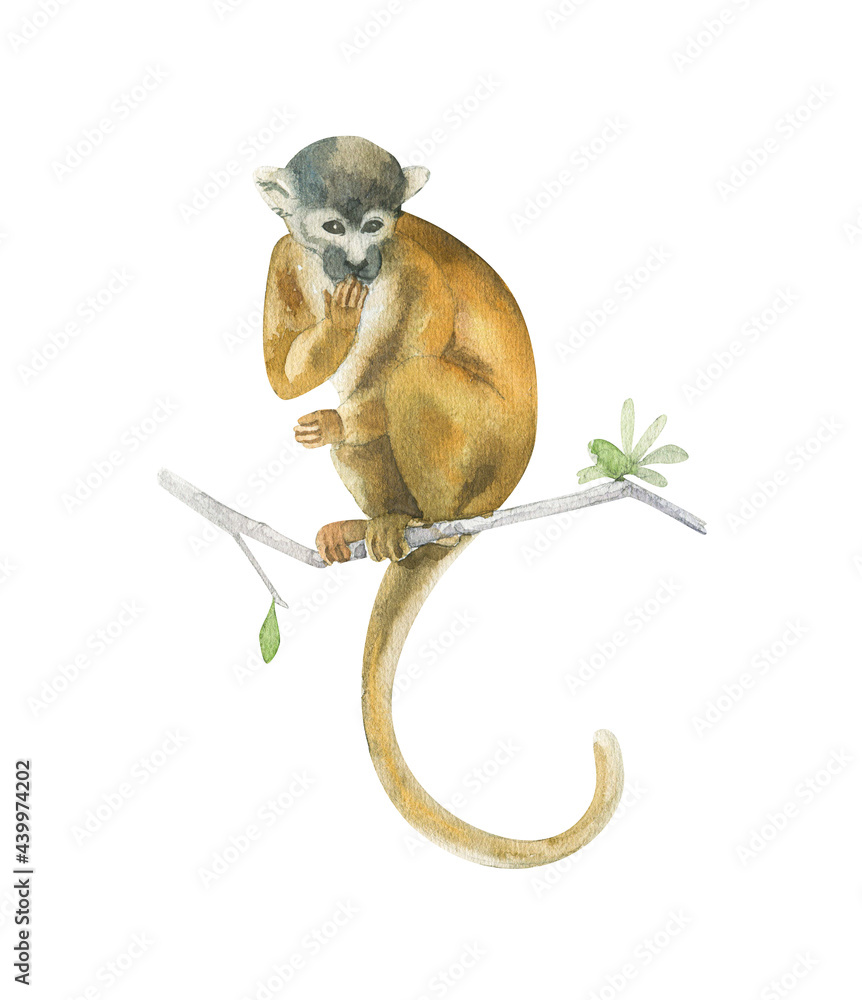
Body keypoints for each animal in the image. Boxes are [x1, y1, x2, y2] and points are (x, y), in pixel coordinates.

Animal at [254, 136, 623, 868]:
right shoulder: (283, 255)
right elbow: (282, 373)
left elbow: (398, 362)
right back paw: (376, 520)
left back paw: (422, 518)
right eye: (332, 225)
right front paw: (330, 337)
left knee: (408, 376)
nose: (359, 264)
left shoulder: (408, 265)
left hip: (485, 453)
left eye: (375, 225)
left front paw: (340, 410)